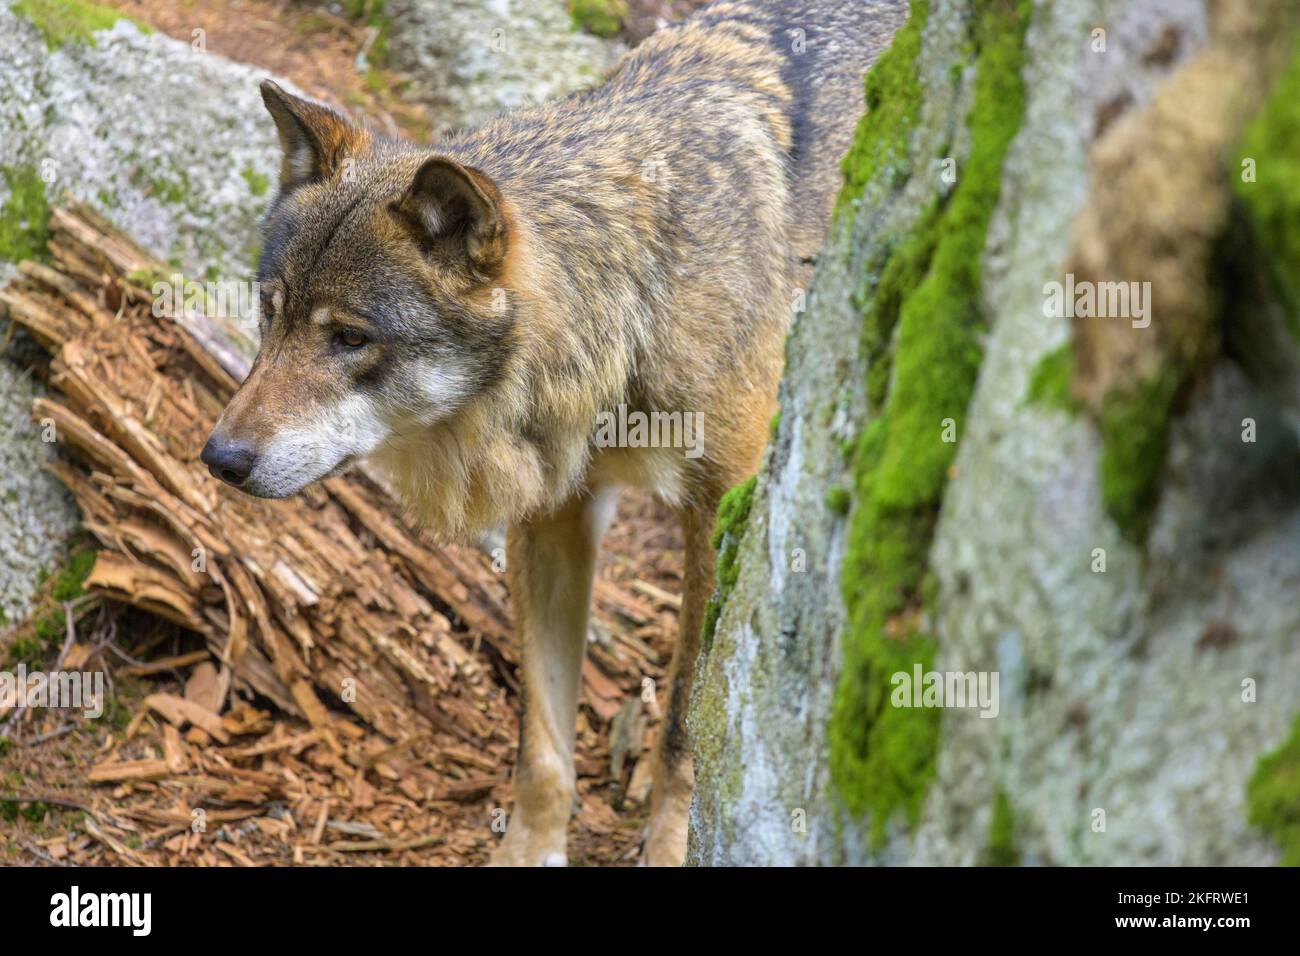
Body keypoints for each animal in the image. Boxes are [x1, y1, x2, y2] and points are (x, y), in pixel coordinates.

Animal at [202, 0, 908, 865]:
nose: (220, 458)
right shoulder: (551, 517)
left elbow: (685, 726)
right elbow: (541, 750)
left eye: (350, 338)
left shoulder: (720, 514)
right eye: (271, 312)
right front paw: (529, 850)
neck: (635, 302)